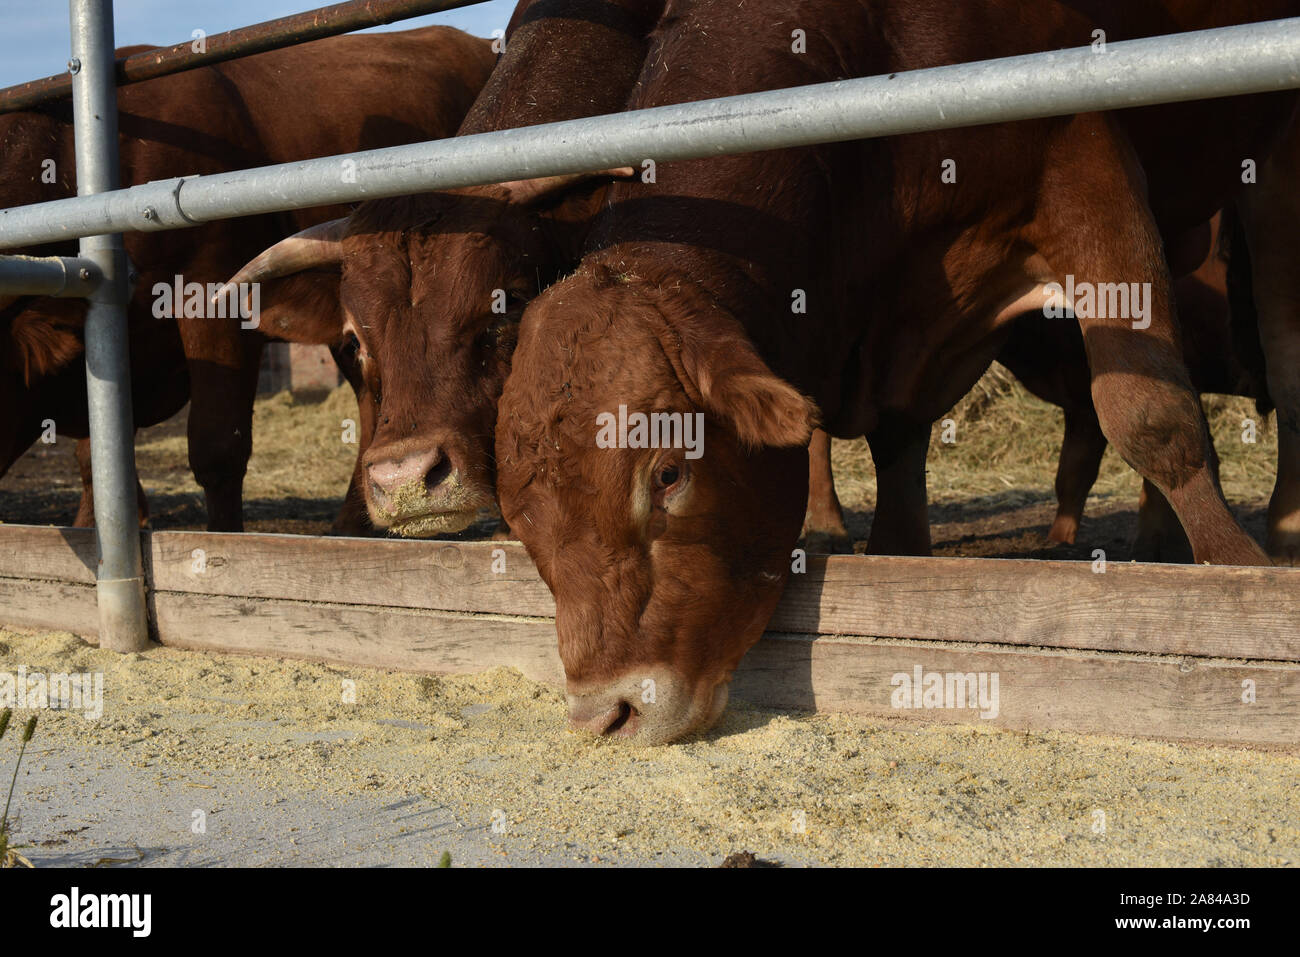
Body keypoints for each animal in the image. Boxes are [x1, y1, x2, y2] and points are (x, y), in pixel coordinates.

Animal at [494, 0, 1297, 744]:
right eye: (520, 519)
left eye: (666, 473)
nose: (606, 713)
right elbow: (898, 452)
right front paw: (899, 560)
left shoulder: (1084, 154)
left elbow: (1149, 413)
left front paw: (1240, 580)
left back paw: (1279, 534)